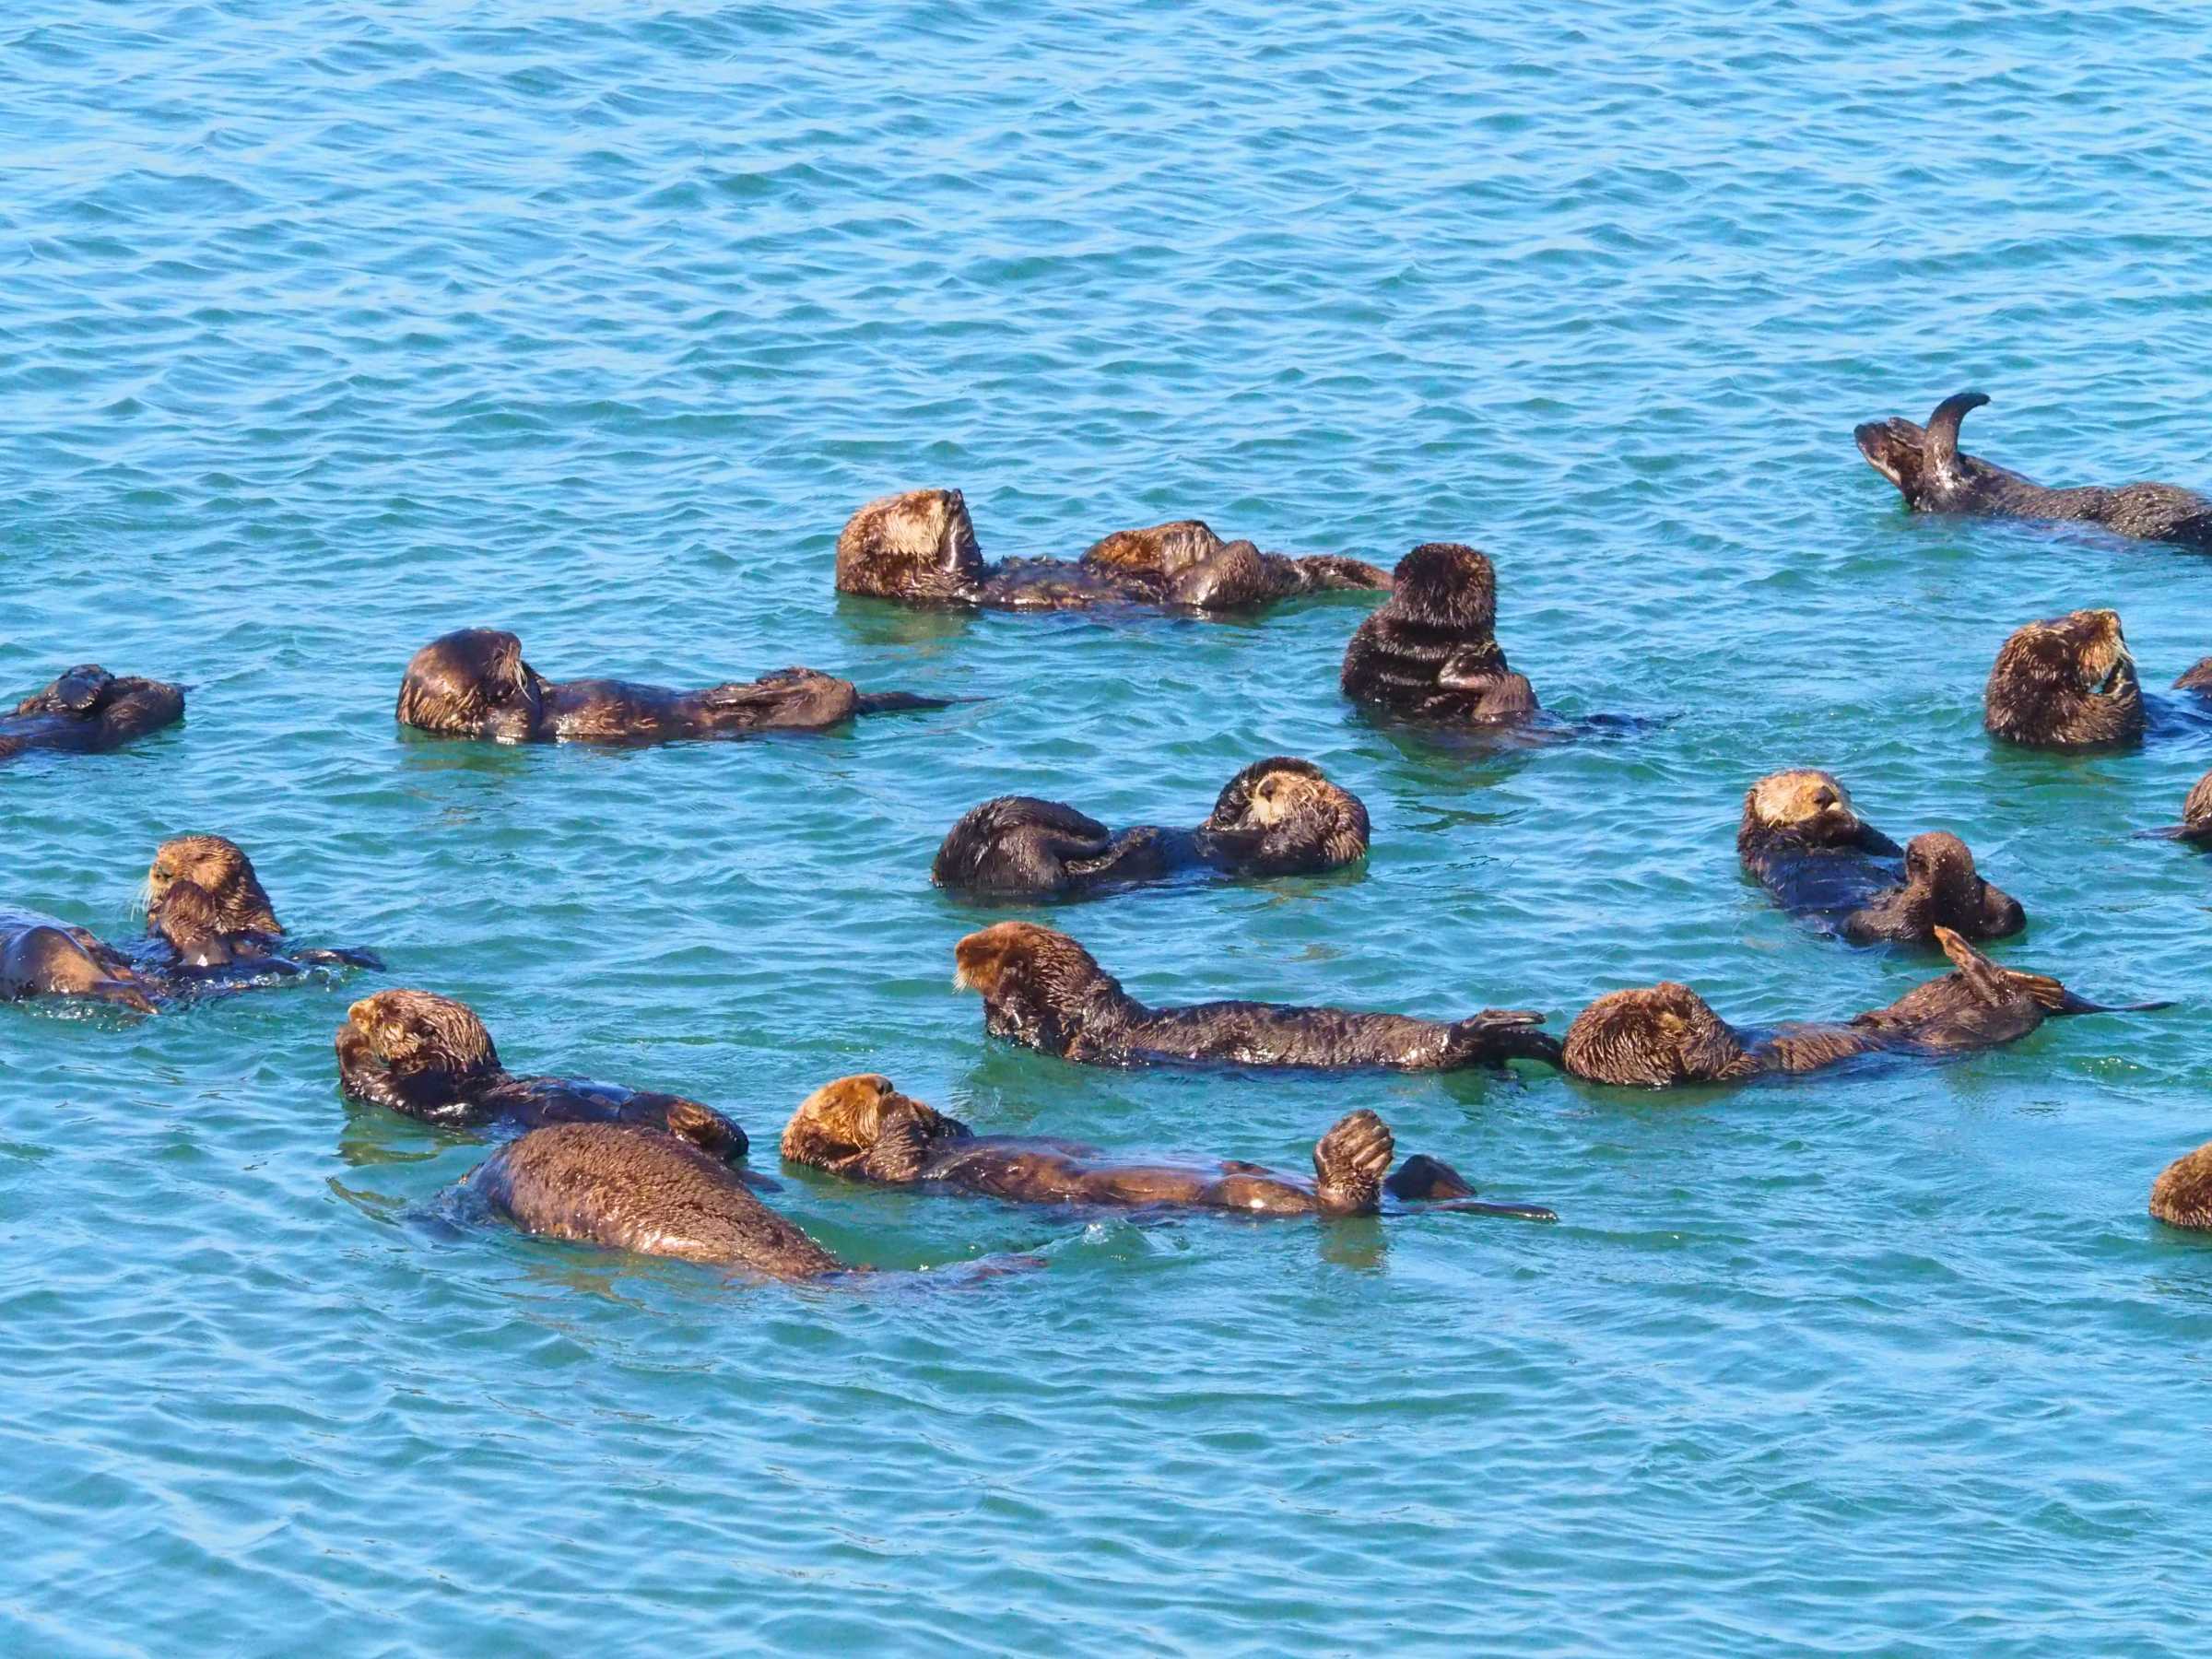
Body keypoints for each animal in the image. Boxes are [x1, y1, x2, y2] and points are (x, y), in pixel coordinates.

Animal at [335, 989, 749, 1161]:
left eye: (385, 1010)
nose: (354, 1007)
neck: (462, 1067)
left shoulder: (425, 1090)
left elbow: (373, 1083)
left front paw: (348, 1034)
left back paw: (687, 1113)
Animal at [932, 758, 1369, 898]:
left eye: (1298, 796)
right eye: (1283, 783)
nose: (1269, 788)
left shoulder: (1282, 860)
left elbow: (1290, 845)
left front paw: (1318, 817)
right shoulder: (1221, 823)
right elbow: (1222, 808)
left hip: (1032, 868)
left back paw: (1096, 834)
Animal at [1561, 927, 2151, 1088]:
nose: (1649, 991)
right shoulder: (1718, 1066)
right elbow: (1707, 1040)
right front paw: (1677, 998)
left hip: (1922, 997)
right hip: (1982, 1024)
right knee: (2010, 1001)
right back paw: (1960, 947)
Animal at [1737, 770, 2023, 944]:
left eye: (1833, 783)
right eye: (1788, 785)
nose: (1824, 795)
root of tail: (1957, 919)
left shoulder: (1876, 842)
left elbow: (1879, 841)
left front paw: (1846, 815)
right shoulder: (1766, 846)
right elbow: (1791, 836)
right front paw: (1836, 816)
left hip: (2005, 910)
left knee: (2009, 913)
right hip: (1868, 924)